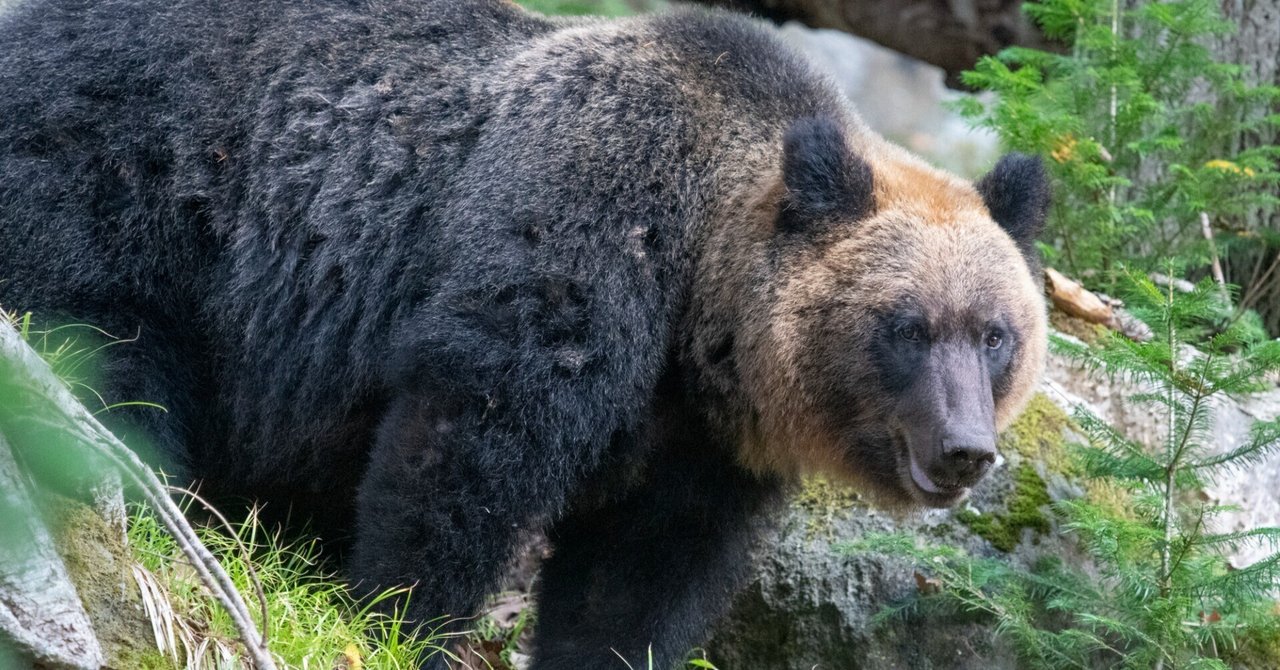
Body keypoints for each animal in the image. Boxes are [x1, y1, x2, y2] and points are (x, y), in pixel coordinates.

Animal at [0, 0, 1049, 668]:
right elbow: (461, 461)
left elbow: (640, 581)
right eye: (906, 325)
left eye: (996, 335)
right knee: (112, 358)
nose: (965, 450)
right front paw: (396, 624)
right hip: (135, 198)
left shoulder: (705, 449)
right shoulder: (574, 252)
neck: (696, 306)